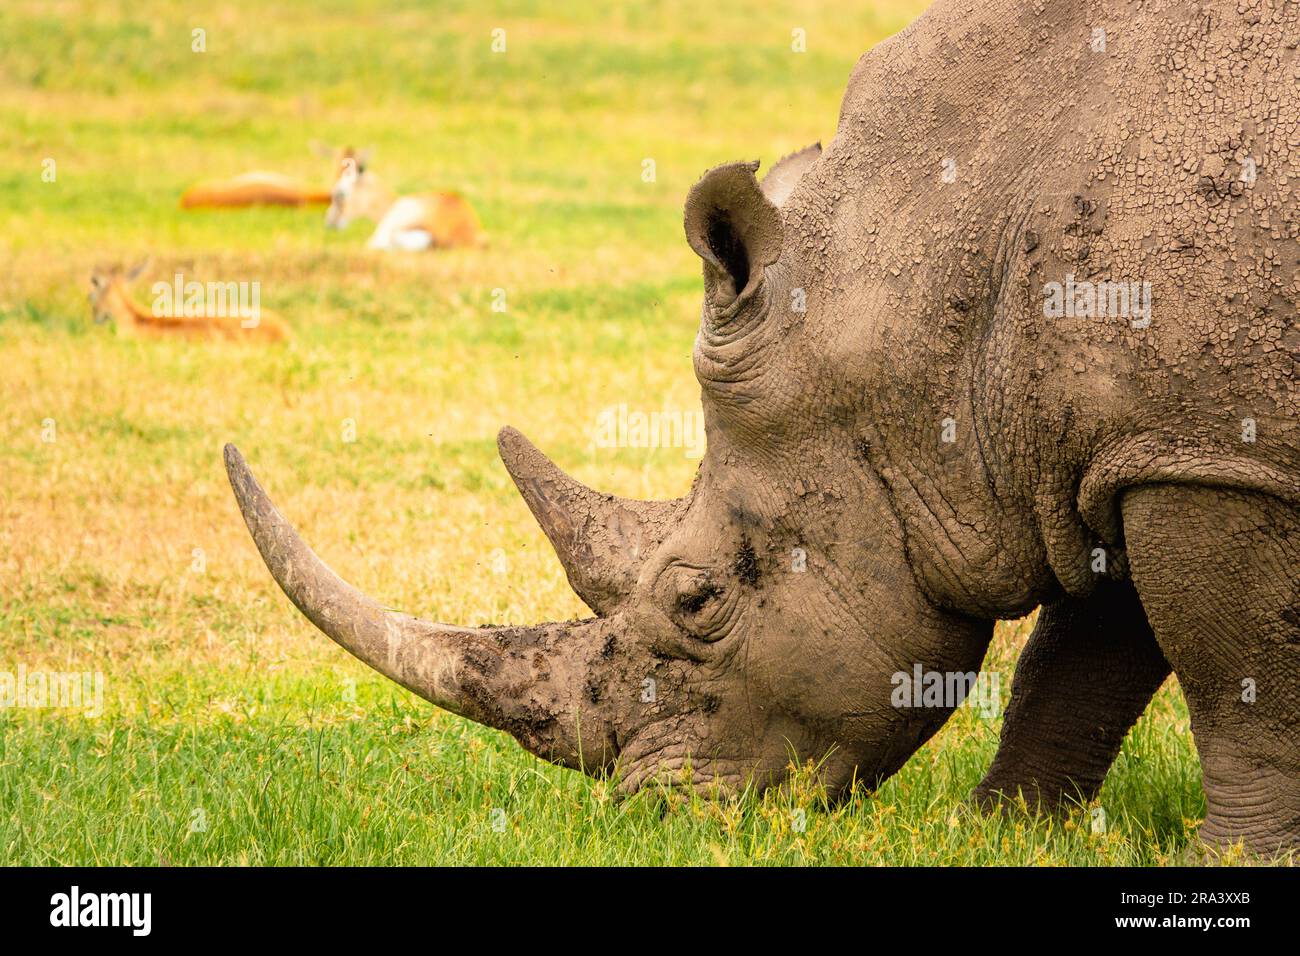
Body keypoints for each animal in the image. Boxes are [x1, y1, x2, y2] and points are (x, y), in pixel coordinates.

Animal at [225, 0, 1300, 854]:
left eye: (697, 601)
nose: (656, 815)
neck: (925, 280)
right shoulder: (1123, 443)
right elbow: (1081, 657)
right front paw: (997, 832)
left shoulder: (1207, 451)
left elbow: (1236, 675)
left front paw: (1231, 858)